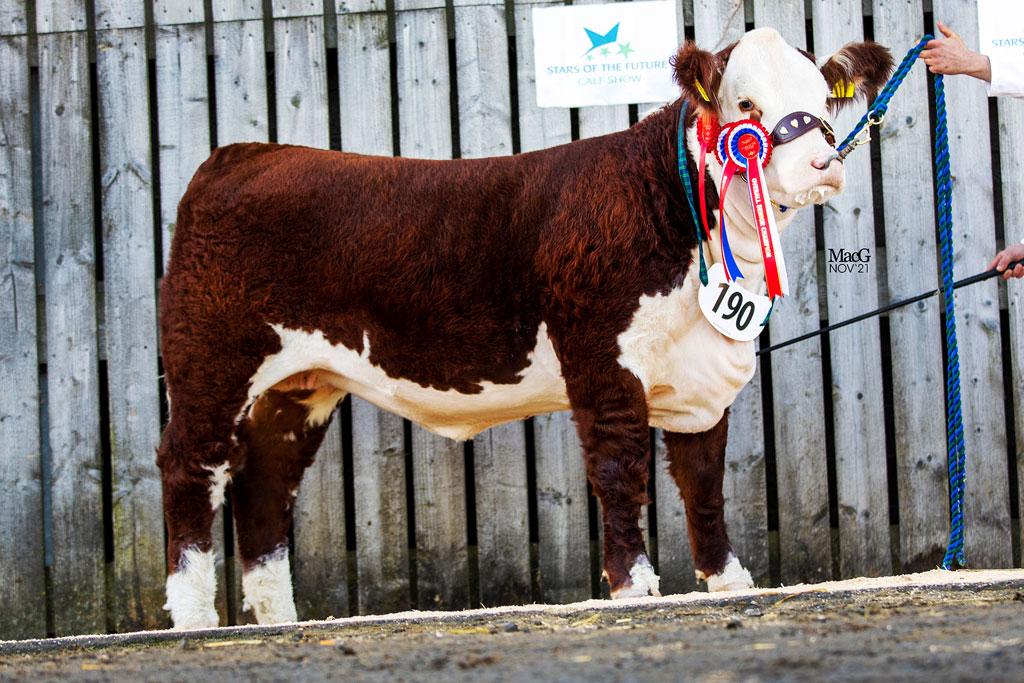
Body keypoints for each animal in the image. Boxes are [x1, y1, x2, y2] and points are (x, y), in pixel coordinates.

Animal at [158, 27, 892, 629]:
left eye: (824, 100)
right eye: (746, 105)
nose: (823, 163)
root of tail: (244, 153)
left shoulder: (701, 382)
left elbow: (703, 480)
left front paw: (728, 581)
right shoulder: (601, 358)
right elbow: (621, 468)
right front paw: (635, 587)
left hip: (298, 386)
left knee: (265, 486)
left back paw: (278, 623)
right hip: (210, 364)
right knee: (191, 468)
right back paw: (192, 621)